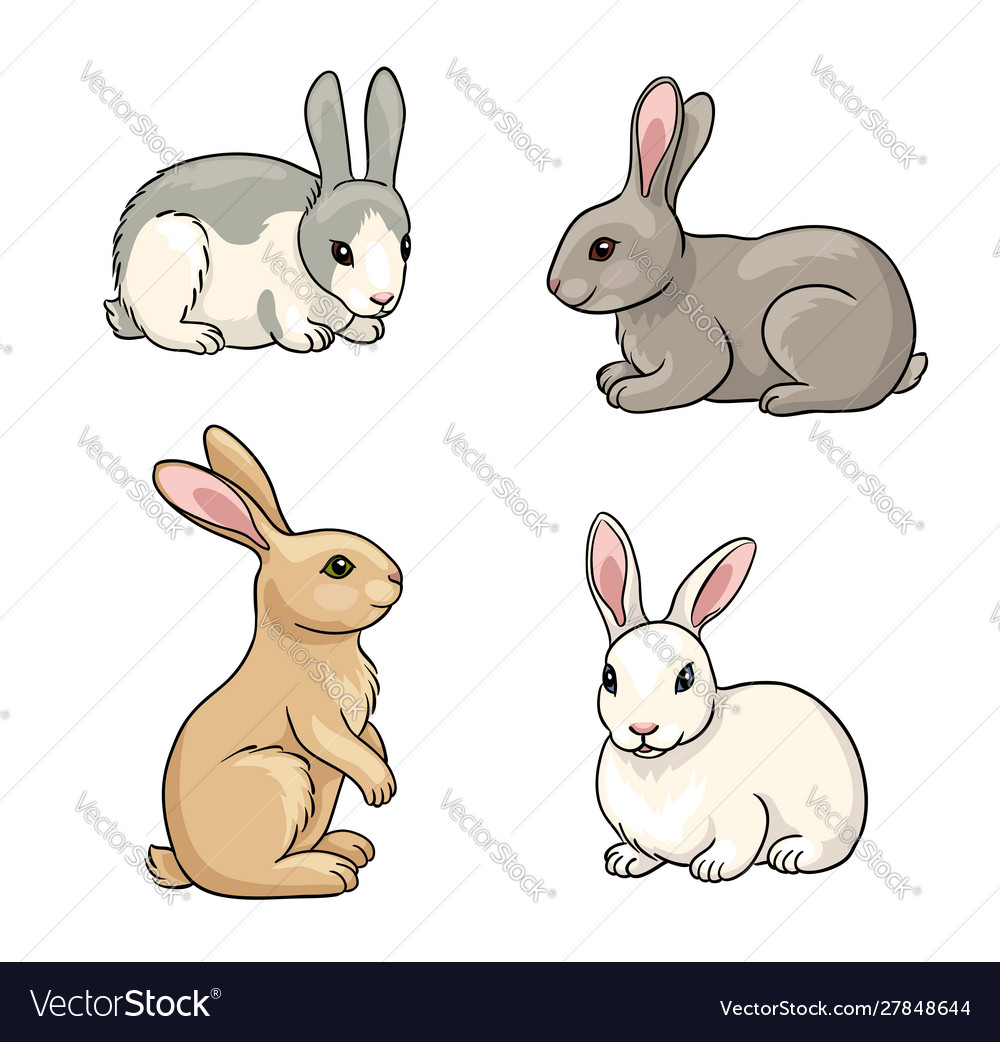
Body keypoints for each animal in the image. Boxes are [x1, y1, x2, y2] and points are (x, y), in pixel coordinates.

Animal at [105, 68, 409, 355]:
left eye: (406, 246)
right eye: (341, 252)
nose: (383, 299)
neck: (302, 235)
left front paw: (367, 328)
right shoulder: (280, 293)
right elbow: (287, 319)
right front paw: (312, 337)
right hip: (179, 245)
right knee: (158, 324)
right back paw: (202, 337)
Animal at [146, 425, 402, 898]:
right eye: (339, 566)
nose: (397, 575)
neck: (317, 645)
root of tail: (186, 866)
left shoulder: (359, 719)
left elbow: (369, 737)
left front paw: (384, 769)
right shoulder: (312, 713)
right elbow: (338, 744)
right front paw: (381, 786)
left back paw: (349, 847)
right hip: (280, 776)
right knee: (253, 878)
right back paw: (329, 873)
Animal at [548, 77, 925, 416]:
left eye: (602, 248)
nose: (553, 285)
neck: (669, 279)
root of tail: (899, 358)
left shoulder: (700, 354)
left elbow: (681, 381)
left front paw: (626, 391)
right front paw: (611, 375)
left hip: (793, 315)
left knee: (848, 396)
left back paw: (780, 399)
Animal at [586, 513, 867, 882]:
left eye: (686, 678)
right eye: (609, 678)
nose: (642, 729)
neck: (658, 766)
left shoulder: (745, 809)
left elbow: (739, 840)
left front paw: (711, 867)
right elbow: (644, 854)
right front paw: (622, 861)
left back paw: (790, 853)